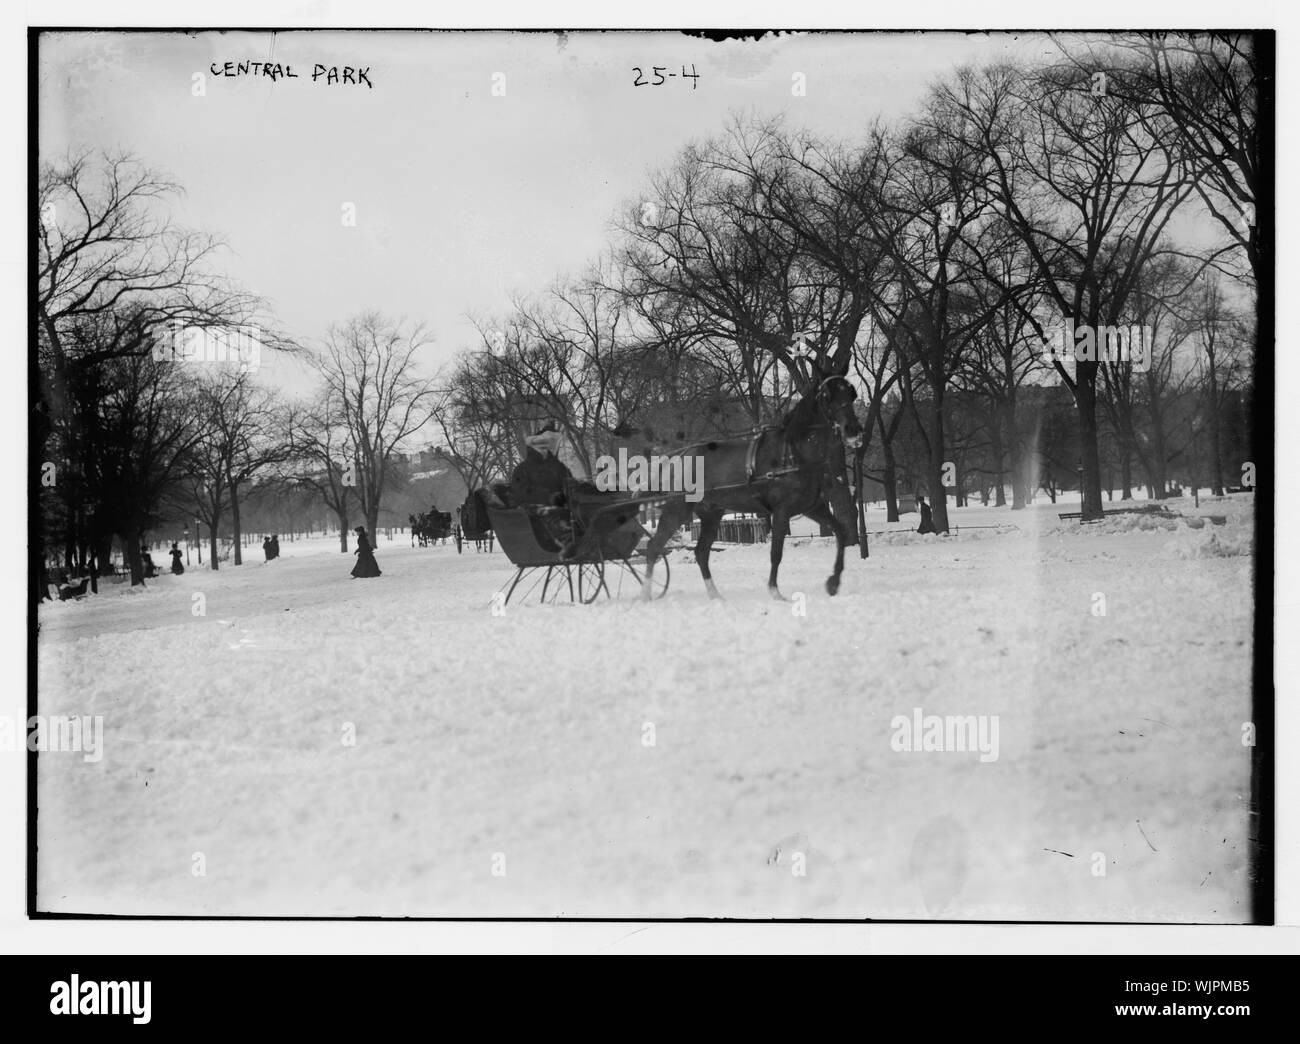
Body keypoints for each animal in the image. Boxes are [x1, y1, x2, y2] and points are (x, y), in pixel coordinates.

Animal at [641, 365, 864, 600]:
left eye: (851, 393)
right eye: (827, 395)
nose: (853, 430)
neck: (794, 453)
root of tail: (677, 457)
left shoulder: (813, 507)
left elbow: (841, 532)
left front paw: (833, 582)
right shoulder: (782, 511)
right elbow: (776, 552)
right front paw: (774, 590)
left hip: (711, 513)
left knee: (701, 552)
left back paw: (715, 595)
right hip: (678, 508)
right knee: (654, 546)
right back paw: (645, 595)